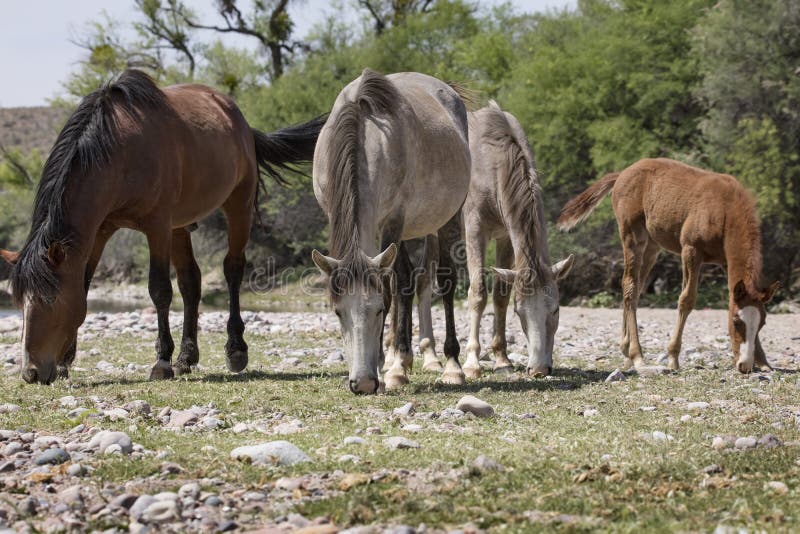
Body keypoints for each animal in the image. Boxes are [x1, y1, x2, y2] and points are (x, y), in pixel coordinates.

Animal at [0, 69, 324, 385]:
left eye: (50, 299)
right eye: (19, 301)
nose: (30, 372)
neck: (119, 152)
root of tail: (240, 122)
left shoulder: (156, 226)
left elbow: (159, 289)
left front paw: (161, 362)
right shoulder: (101, 230)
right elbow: (85, 284)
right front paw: (66, 361)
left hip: (237, 206)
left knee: (232, 269)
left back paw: (235, 350)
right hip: (180, 225)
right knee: (191, 283)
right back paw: (187, 358)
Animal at [311, 69, 471, 394]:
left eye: (378, 310)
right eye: (337, 312)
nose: (362, 383)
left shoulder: (392, 222)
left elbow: (393, 289)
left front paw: (392, 369)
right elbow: (398, 285)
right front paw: (391, 363)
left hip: (447, 217)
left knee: (443, 279)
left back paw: (450, 366)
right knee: (410, 282)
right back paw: (403, 360)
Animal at [557, 158, 780, 373]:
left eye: (763, 323)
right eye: (736, 321)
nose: (744, 366)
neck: (724, 210)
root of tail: (623, 173)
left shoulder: (726, 261)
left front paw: (763, 362)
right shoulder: (691, 250)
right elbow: (687, 299)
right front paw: (673, 357)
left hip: (652, 247)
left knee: (635, 288)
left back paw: (626, 350)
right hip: (632, 236)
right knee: (629, 285)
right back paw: (637, 355)